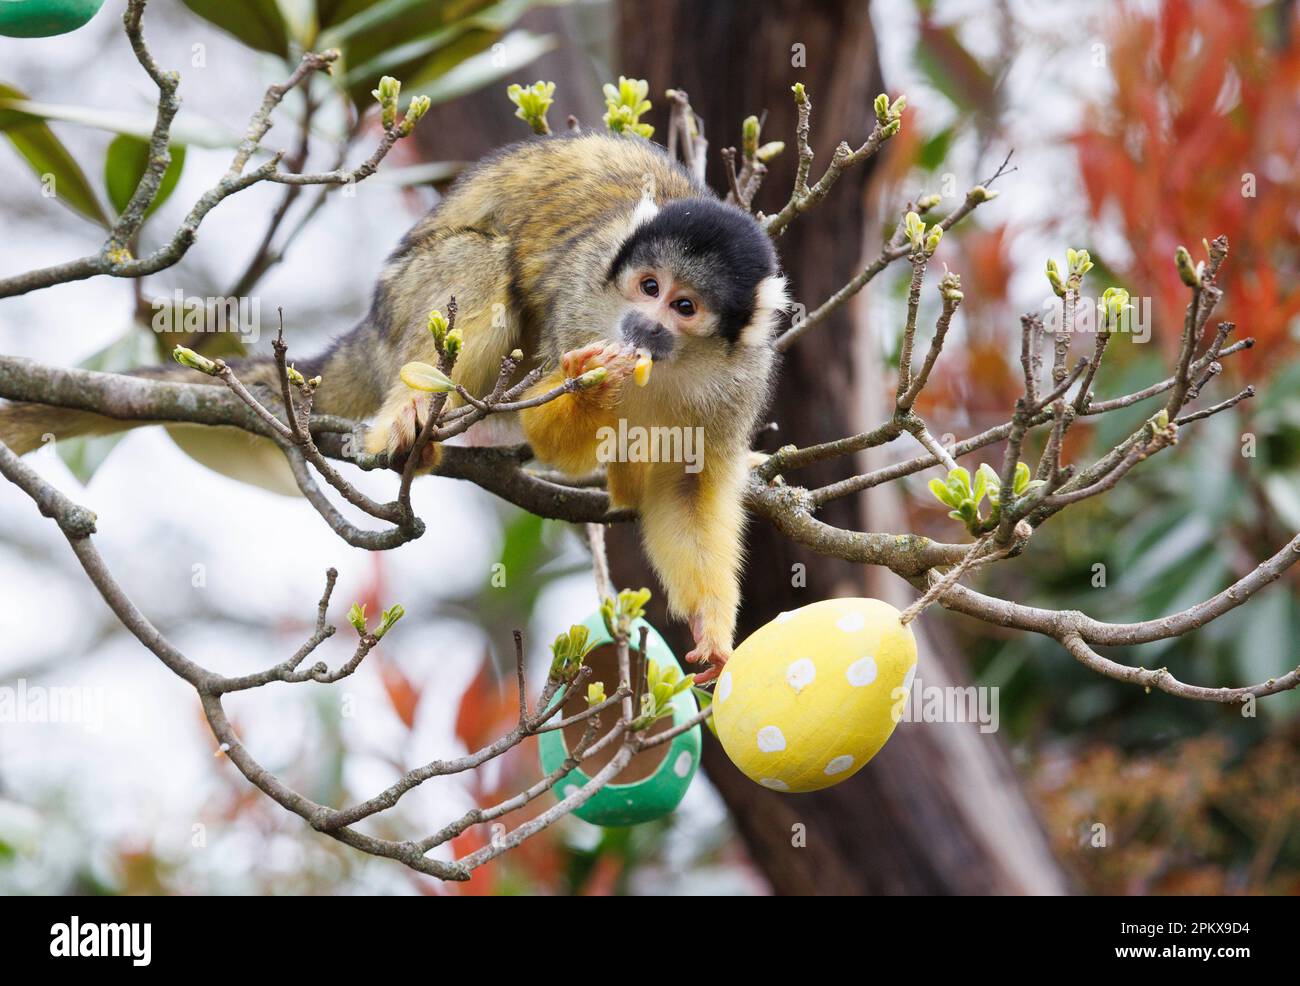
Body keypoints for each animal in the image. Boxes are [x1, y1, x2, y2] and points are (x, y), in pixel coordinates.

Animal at [0, 131, 789, 680]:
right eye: (646, 287)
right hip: (411, 303)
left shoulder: (743, 381)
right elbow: (555, 426)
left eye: (683, 307)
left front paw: (714, 629)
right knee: (480, 260)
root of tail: (371, 332)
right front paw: (592, 383)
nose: (640, 327)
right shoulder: (584, 303)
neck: (670, 365)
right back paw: (412, 415)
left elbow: (687, 491)